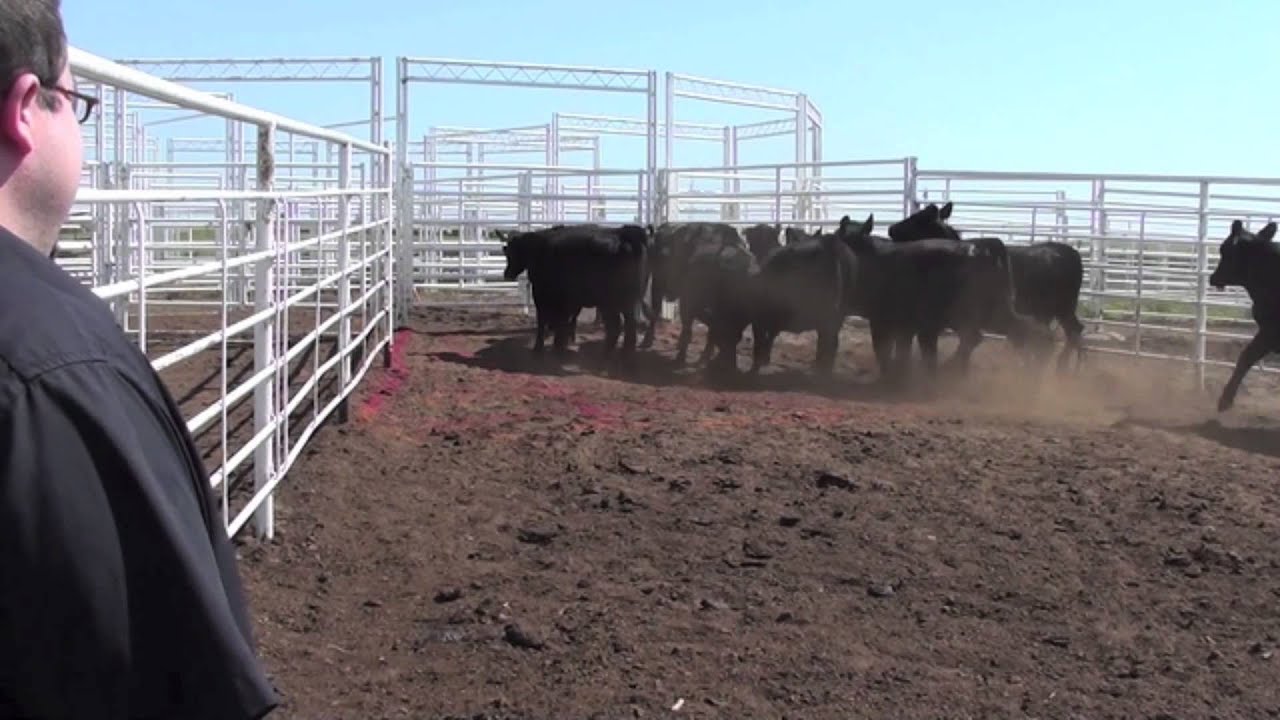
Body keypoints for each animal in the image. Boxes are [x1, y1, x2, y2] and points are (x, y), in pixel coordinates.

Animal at [498, 223, 649, 360]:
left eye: (512, 252)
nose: (507, 274)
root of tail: (623, 233)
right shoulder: (567, 300)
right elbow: (563, 321)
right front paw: (560, 345)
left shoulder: (542, 294)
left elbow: (546, 320)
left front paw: (542, 348)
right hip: (627, 300)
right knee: (628, 326)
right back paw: (622, 356)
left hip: (609, 301)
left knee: (616, 326)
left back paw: (606, 356)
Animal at [647, 222, 749, 364]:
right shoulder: (688, 300)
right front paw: (682, 357)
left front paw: (706, 356)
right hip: (658, 284)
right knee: (655, 310)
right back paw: (648, 341)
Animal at [836, 213, 1053, 385]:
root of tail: (985, 247)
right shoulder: (906, 325)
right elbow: (902, 350)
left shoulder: (883, 319)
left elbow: (884, 349)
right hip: (993, 311)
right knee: (1027, 331)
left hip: (970, 313)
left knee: (980, 336)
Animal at [888, 202, 1086, 372]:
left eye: (922, 219)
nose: (892, 229)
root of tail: (1071, 253)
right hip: (1059, 310)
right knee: (1069, 331)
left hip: (1061, 307)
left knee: (1065, 333)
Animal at [1208, 219, 1280, 412]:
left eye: (1224, 249)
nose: (1212, 278)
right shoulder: (1267, 333)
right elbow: (1246, 357)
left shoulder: (1269, 332)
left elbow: (1246, 357)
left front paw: (1225, 400)